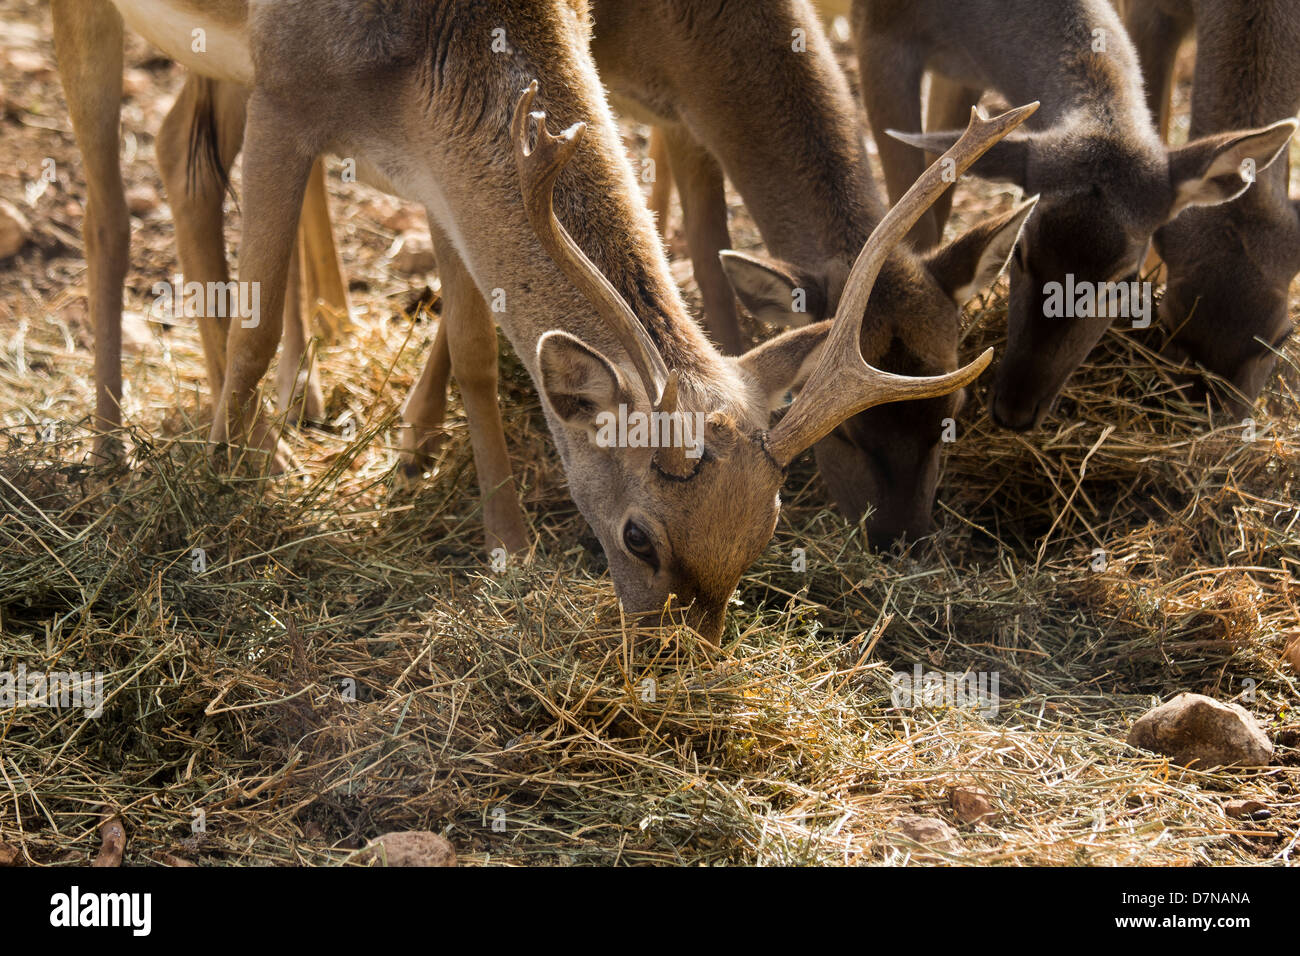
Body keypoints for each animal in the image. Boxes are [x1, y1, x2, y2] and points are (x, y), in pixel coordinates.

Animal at [51, 0, 1027, 639]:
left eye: (768, 527)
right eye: (638, 536)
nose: (679, 656)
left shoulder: (436, 171)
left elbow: (478, 344)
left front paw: (506, 549)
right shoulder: (284, 89)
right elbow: (255, 321)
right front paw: (211, 500)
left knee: (177, 149)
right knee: (115, 205)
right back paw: (119, 450)